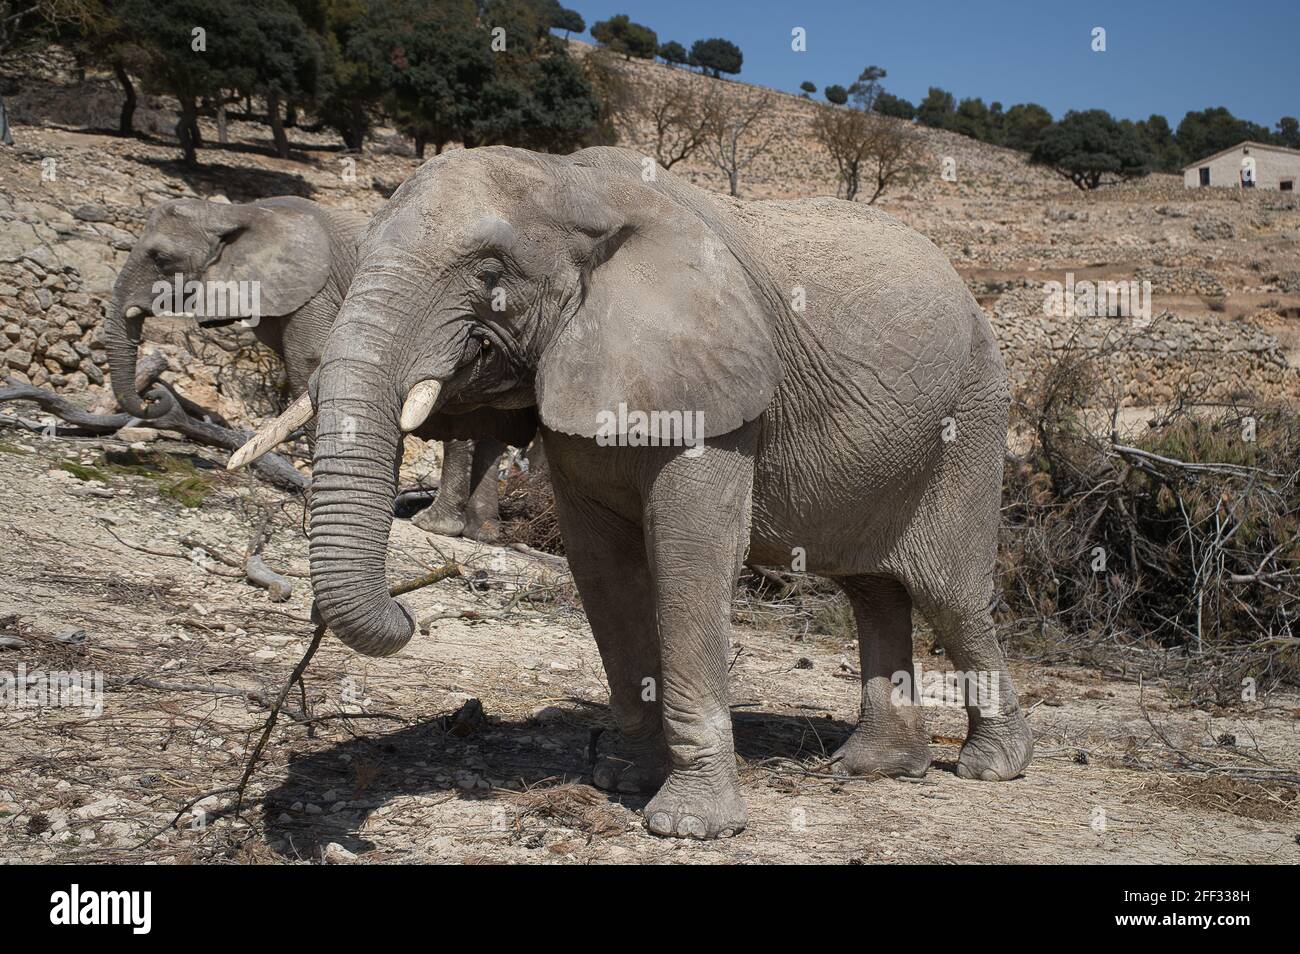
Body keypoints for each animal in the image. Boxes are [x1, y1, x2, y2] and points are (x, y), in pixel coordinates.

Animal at [104, 195, 509, 540]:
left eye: (161, 259)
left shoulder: (314, 296)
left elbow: (308, 366)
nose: (152, 397)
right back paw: (480, 532)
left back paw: (436, 525)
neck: (240, 212)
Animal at [232, 145, 1034, 840]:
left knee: (950, 597)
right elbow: (602, 568)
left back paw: (990, 768)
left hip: (972, 418)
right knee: (873, 589)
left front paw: (688, 826)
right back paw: (876, 767)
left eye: (491, 276)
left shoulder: (710, 389)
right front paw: (624, 780)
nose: (408, 611)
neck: (575, 186)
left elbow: (689, 556)